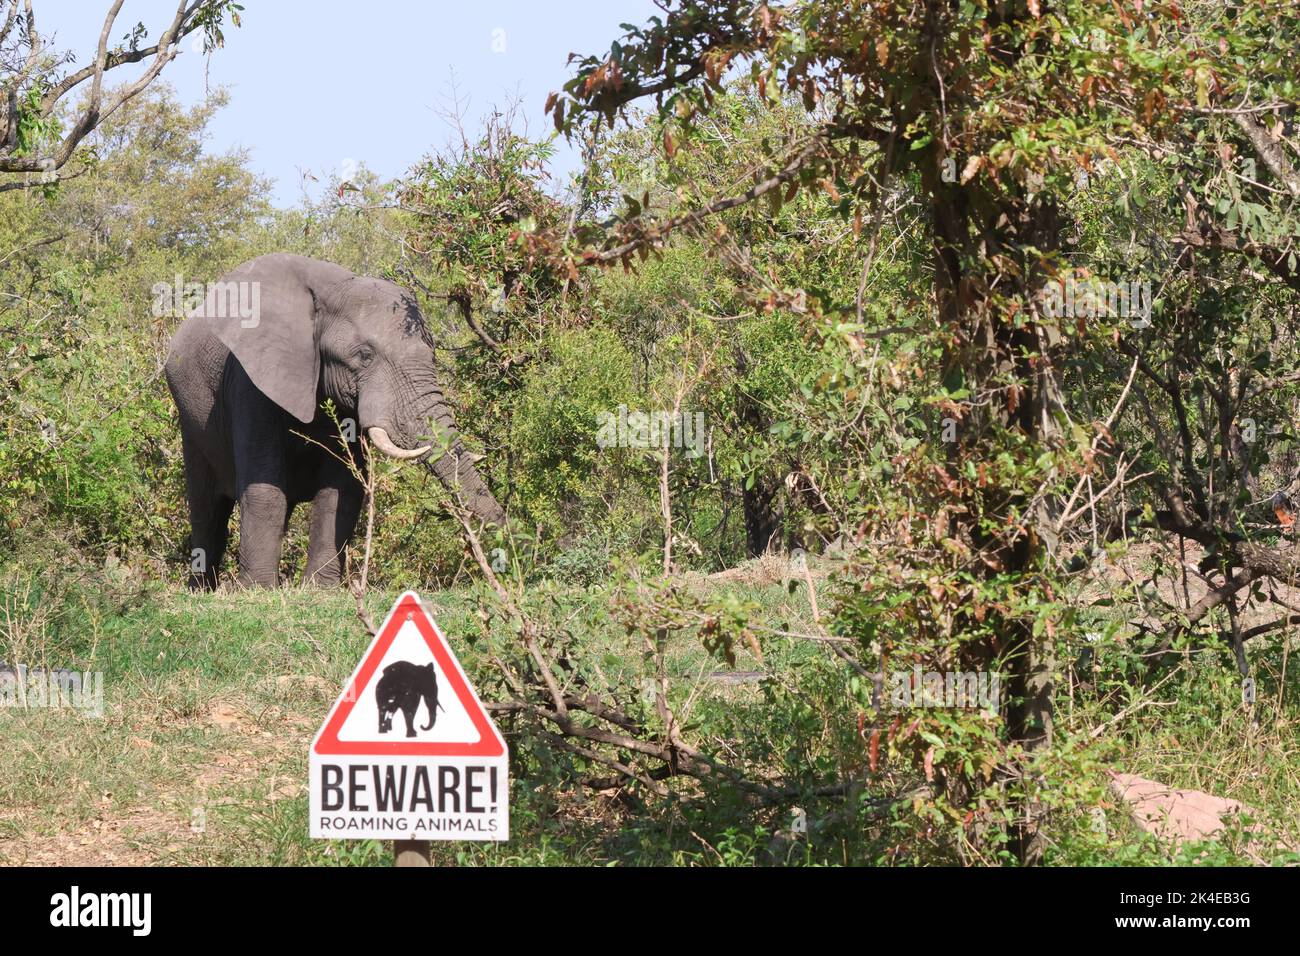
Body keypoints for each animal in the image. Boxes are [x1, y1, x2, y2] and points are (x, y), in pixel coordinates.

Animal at [164, 253, 505, 588]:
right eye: (365, 355)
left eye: (433, 354)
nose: (504, 527)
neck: (331, 292)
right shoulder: (249, 379)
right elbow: (263, 486)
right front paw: (257, 590)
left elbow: (342, 488)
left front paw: (319, 589)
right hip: (191, 419)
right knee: (206, 507)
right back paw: (202, 589)